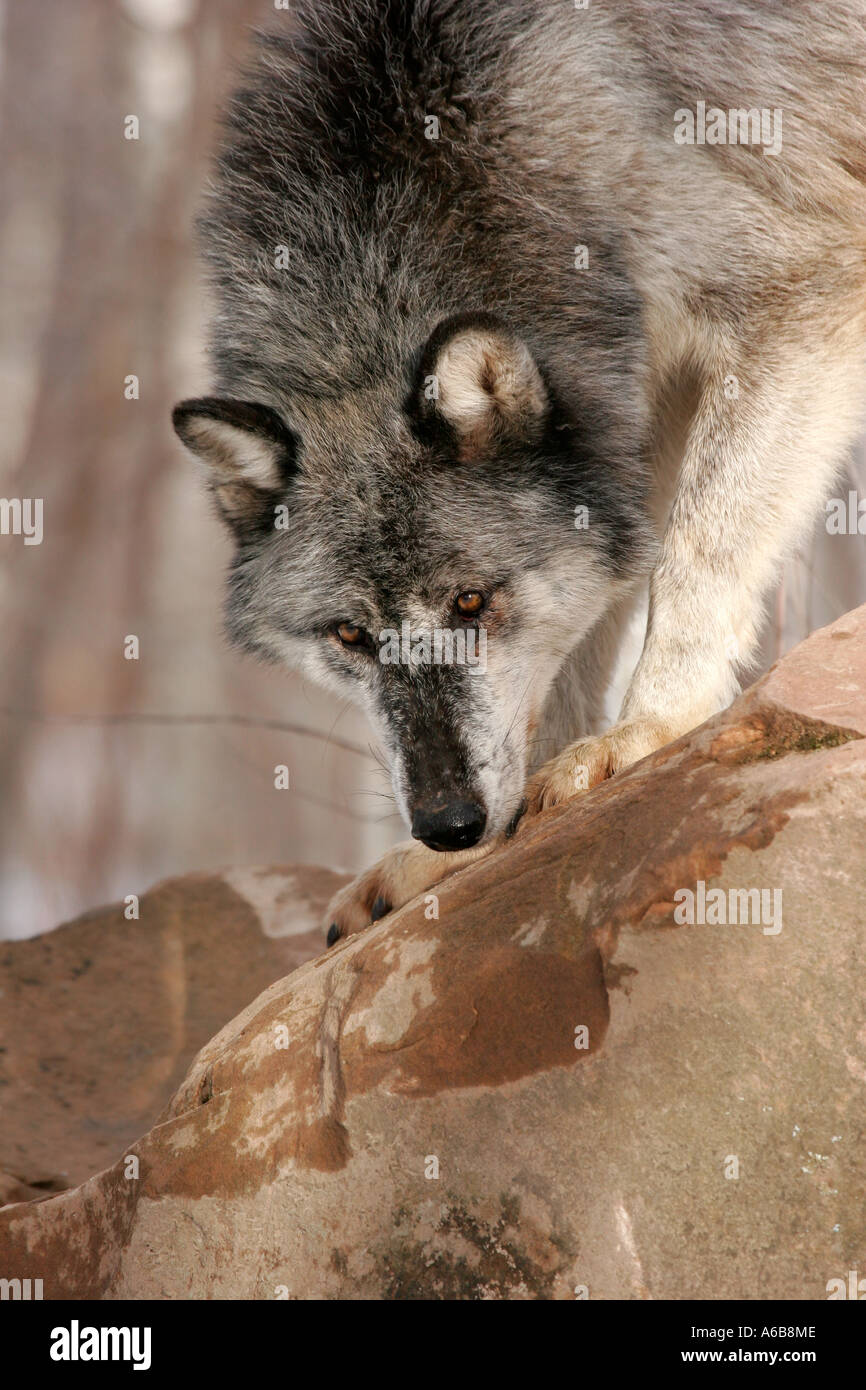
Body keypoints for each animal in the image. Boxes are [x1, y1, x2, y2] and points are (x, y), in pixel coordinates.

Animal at [173, 0, 866, 942]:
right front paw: (450, 856)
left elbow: (696, 556)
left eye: (471, 603)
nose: (448, 824)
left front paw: (646, 732)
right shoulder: (629, 408)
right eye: (349, 636)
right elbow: (576, 642)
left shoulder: (799, 291)